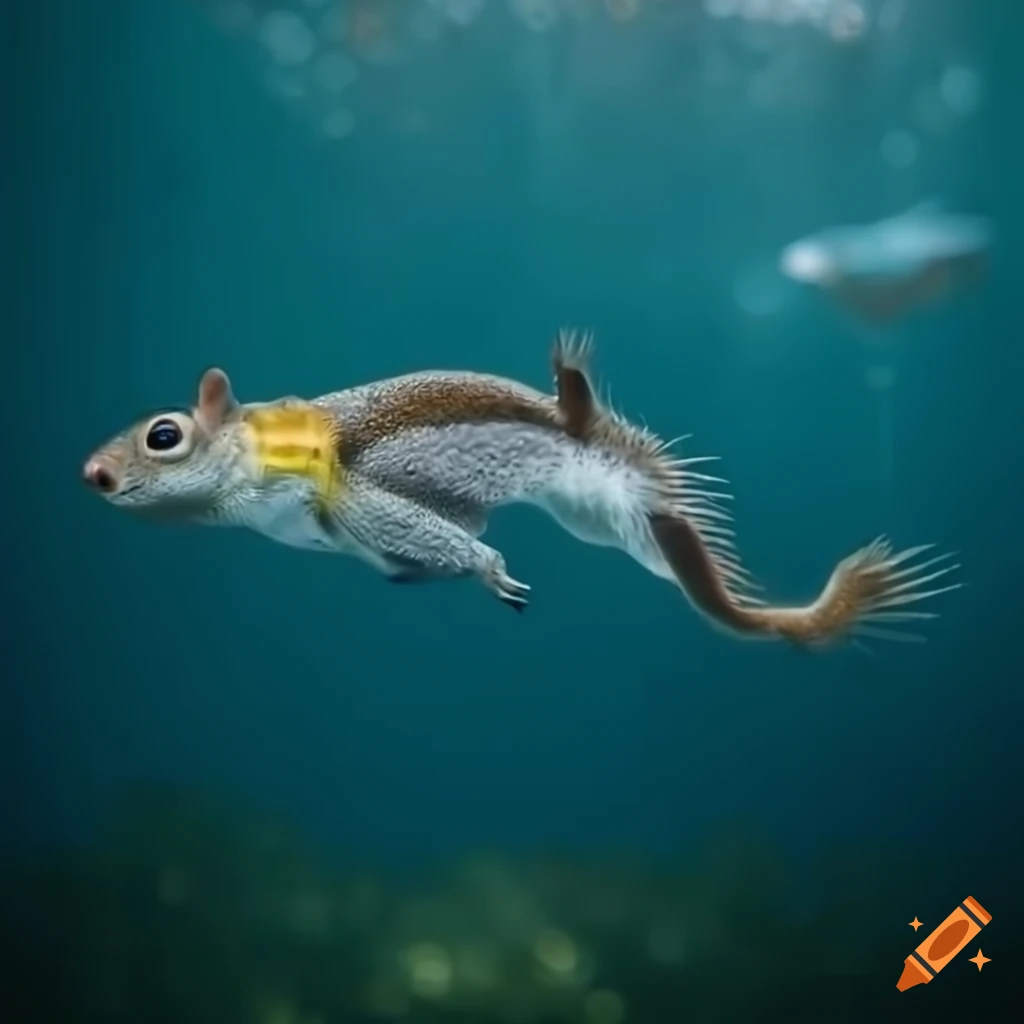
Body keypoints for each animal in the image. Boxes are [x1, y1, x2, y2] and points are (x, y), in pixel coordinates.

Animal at [82, 330, 958, 648]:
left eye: (165, 436)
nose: (93, 475)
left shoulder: (357, 496)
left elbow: (444, 538)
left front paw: (489, 570)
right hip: (591, 513)